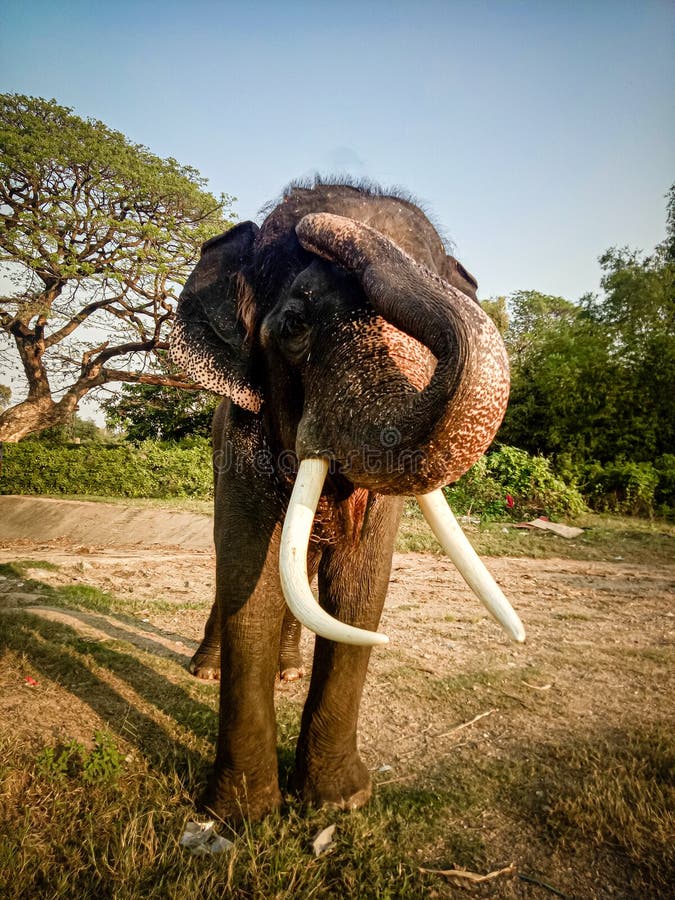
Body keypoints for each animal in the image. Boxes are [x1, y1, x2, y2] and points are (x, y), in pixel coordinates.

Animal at [170, 179, 524, 823]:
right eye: (293, 325)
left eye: (427, 355)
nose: (316, 221)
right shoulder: (239, 446)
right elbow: (252, 582)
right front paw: (241, 816)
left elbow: (360, 588)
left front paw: (339, 802)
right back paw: (205, 670)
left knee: (306, 574)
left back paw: (287, 672)